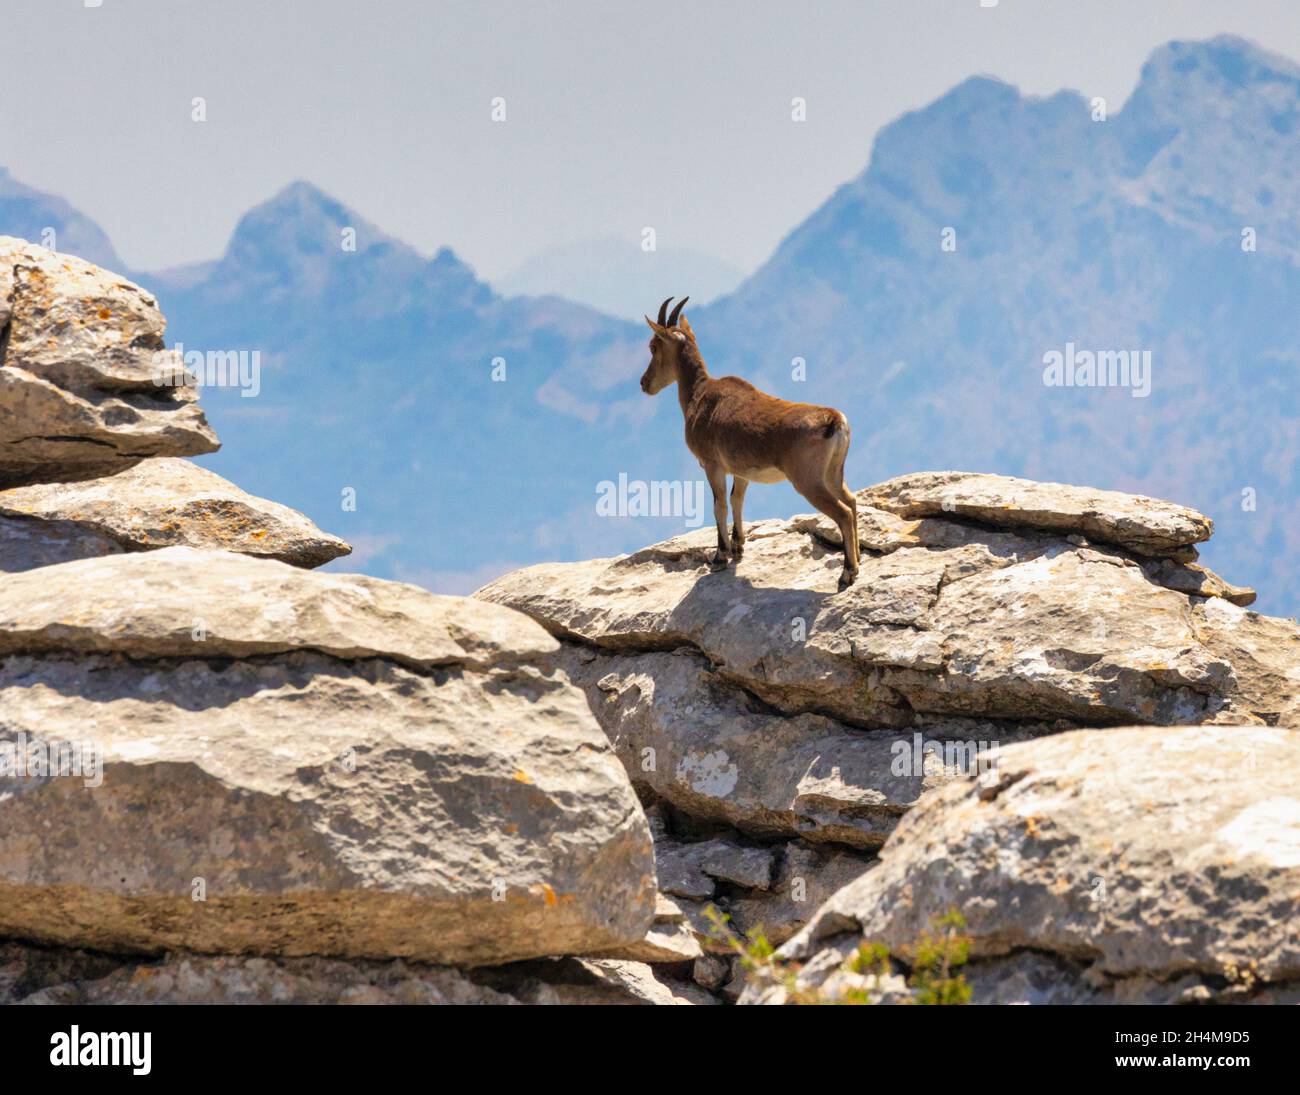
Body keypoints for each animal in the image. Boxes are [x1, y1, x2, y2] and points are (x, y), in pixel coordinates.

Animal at [640, 296, 860, 590]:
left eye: (653, 346)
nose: (644, 383)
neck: (699, 394)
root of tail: (834, 419)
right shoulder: (741, 470)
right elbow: (737, 499)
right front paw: (738, 547)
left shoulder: (712, 464)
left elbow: (719, 505)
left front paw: (720, 557)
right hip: (834, 473)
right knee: (853, 502)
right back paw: (858, 562)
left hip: (808, 481)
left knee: (843, 512)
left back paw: (847, 573)